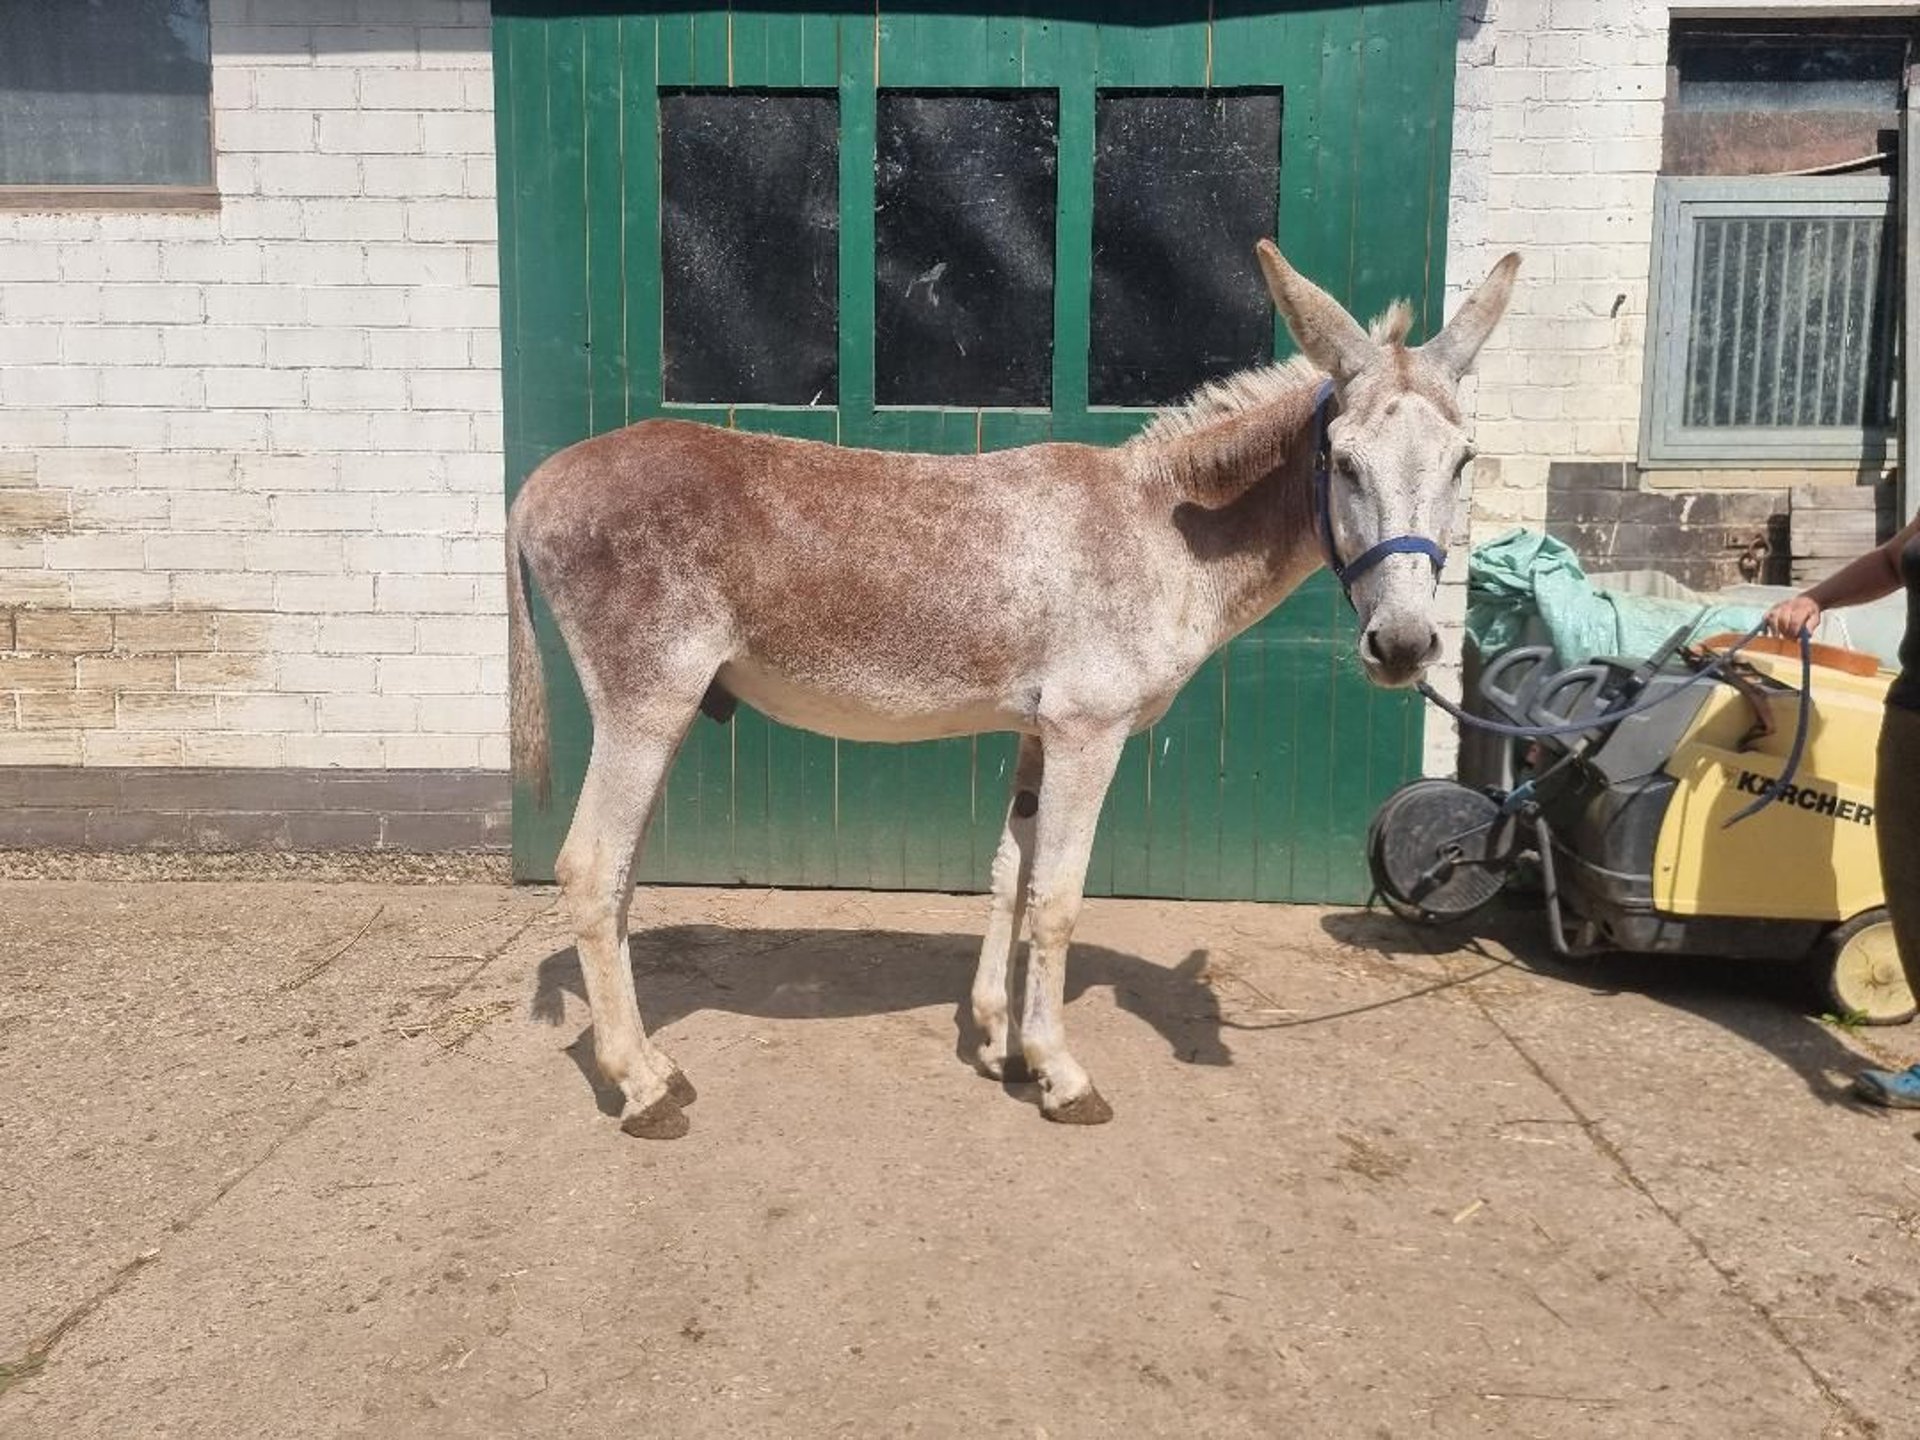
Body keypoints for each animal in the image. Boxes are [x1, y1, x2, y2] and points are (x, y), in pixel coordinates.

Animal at [506, 241, 1520, 1137]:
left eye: (1464, 461)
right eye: (1344, 462)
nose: (1404, 645)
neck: (1163, 533)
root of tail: (538, 483)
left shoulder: (1041, 731)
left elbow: (1009, 874)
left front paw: (1000, 1042)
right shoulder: (1088, 732)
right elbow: (1059, 897)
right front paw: (1062, 1074)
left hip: (661, 713)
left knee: (620, 874)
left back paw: (652, 1060)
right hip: (645, 705)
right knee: (590, 868)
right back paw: (640, 1089)